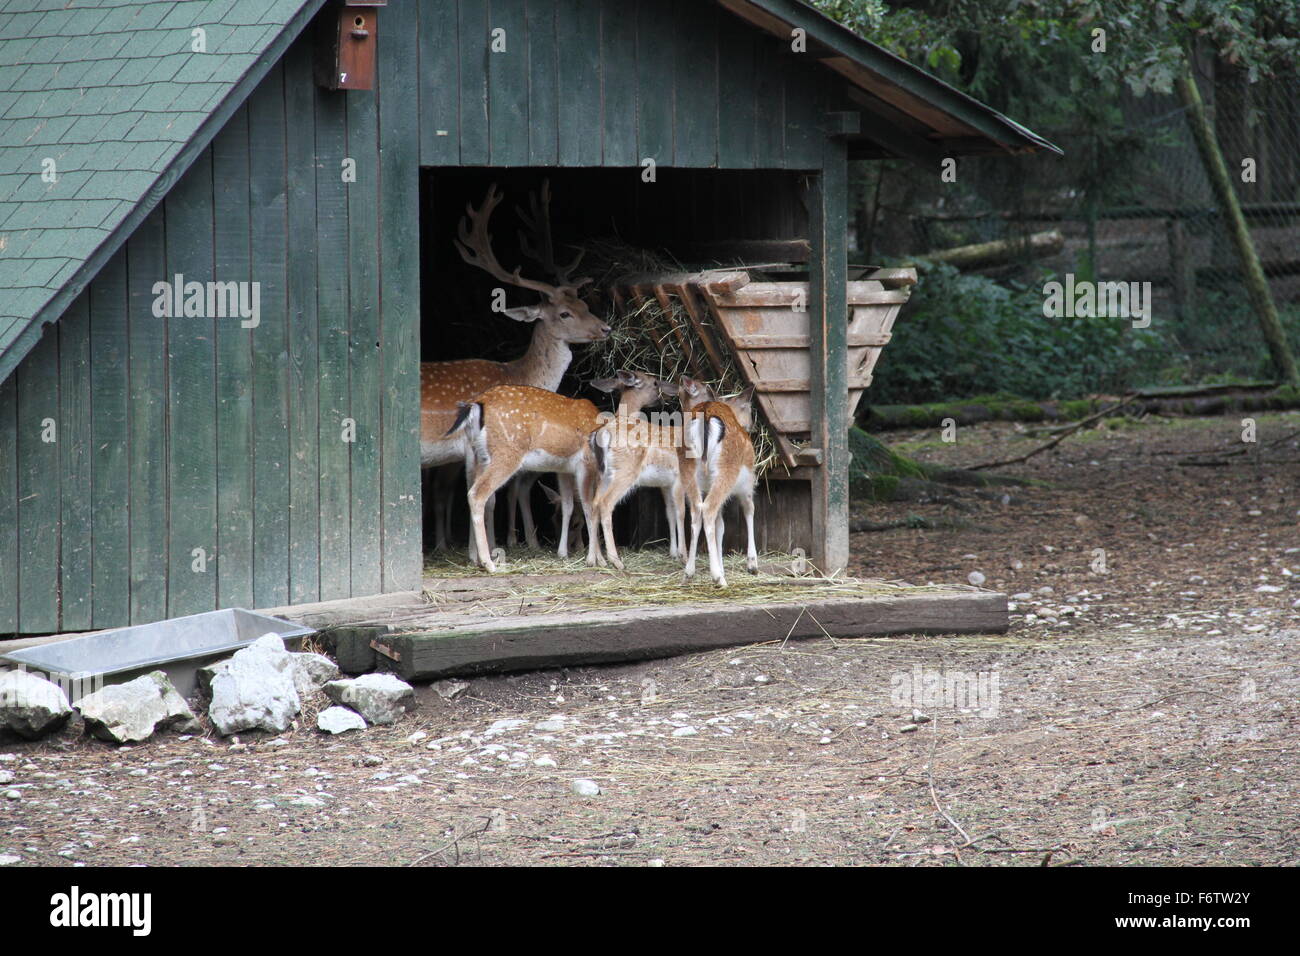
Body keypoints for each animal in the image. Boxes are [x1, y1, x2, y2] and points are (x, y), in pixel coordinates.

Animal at [447, 384, 606, 573]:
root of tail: (476, 405)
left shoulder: (564, 469)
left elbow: (568, 505)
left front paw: (564, 553)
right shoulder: (586, 463)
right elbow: (590, 508)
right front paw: (596, 560)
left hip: (478, 456)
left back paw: (476, 558)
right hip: (506, 453)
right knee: (476, 494)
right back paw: (489, 564)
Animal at [589, 375, 716, 570]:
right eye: (709, 392)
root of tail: (603, 433)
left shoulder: (665, 484)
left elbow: (670, 513)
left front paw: (674, 553)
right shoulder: (679, 478)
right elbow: (681, 512)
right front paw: (684, 556)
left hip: (604, 474)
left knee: (594, 504)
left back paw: (596, 560)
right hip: (626, 470)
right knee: (605, 503)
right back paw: (616, 561)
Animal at [680, 383, 759, 588]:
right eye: (749, 408)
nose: (752, 426)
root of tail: (706, 415)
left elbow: (720, 526)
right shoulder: (748, 482)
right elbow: (749, 510)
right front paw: (752, 565)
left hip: (688, 472)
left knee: (696, 512)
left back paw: (688, 573)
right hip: (727, 471)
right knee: (707, 509)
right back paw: (718, 578)